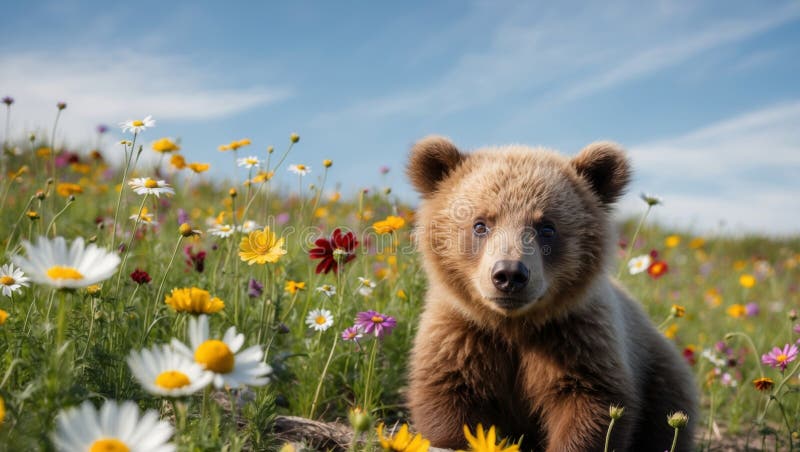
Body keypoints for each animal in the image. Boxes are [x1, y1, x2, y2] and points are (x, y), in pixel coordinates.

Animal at [405, 136, 698, 451]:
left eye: (546, 226)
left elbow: (588, 404)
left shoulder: (576, 339)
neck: (513, 326)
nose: (510, 274)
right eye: (480, 224)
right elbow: (448, 394)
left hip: (661, 372)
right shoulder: (462, 335)